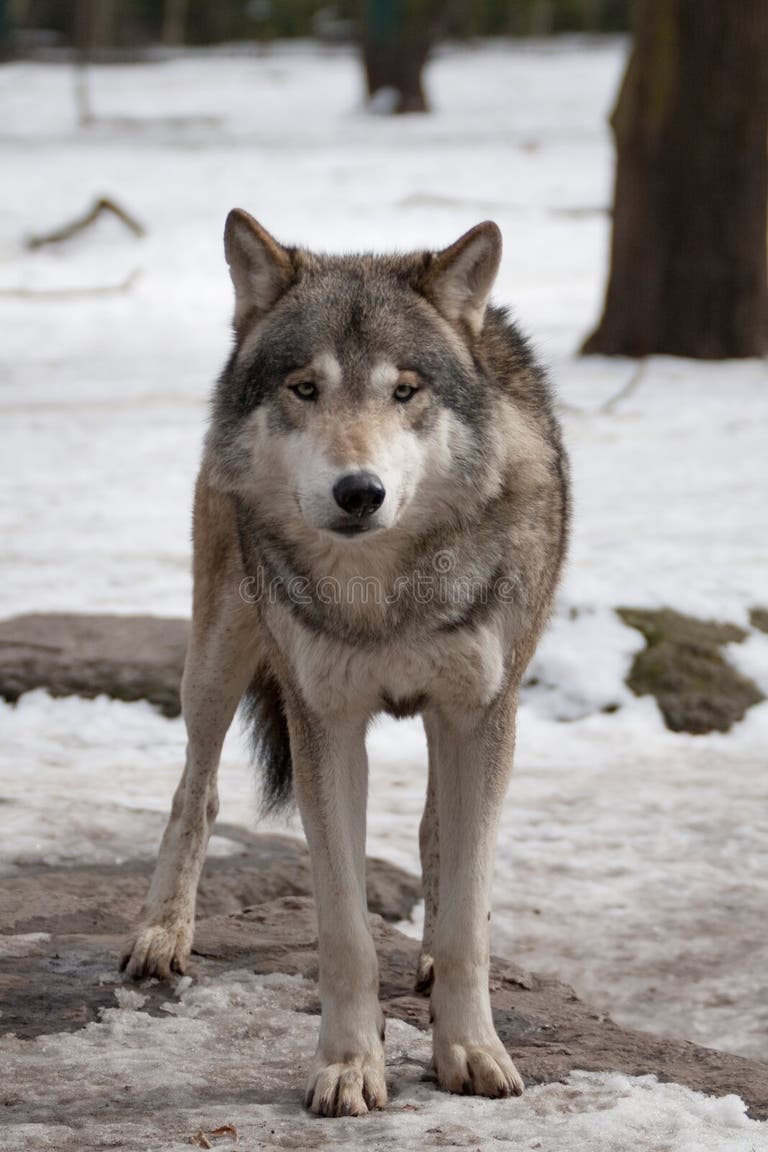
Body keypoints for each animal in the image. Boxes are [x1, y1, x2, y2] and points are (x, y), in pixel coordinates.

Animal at [121, 210, 569, 1116]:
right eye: (304, 388)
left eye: (404, 391)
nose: (358, 491)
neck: (382, 592)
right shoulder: (323, 720)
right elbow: (345, 928)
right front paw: (349, 1066)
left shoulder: (481, 713)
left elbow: (468, 915)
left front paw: (471, 1049)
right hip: (216, 659)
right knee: (197, 791)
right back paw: (162, 932)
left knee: (438, 832)